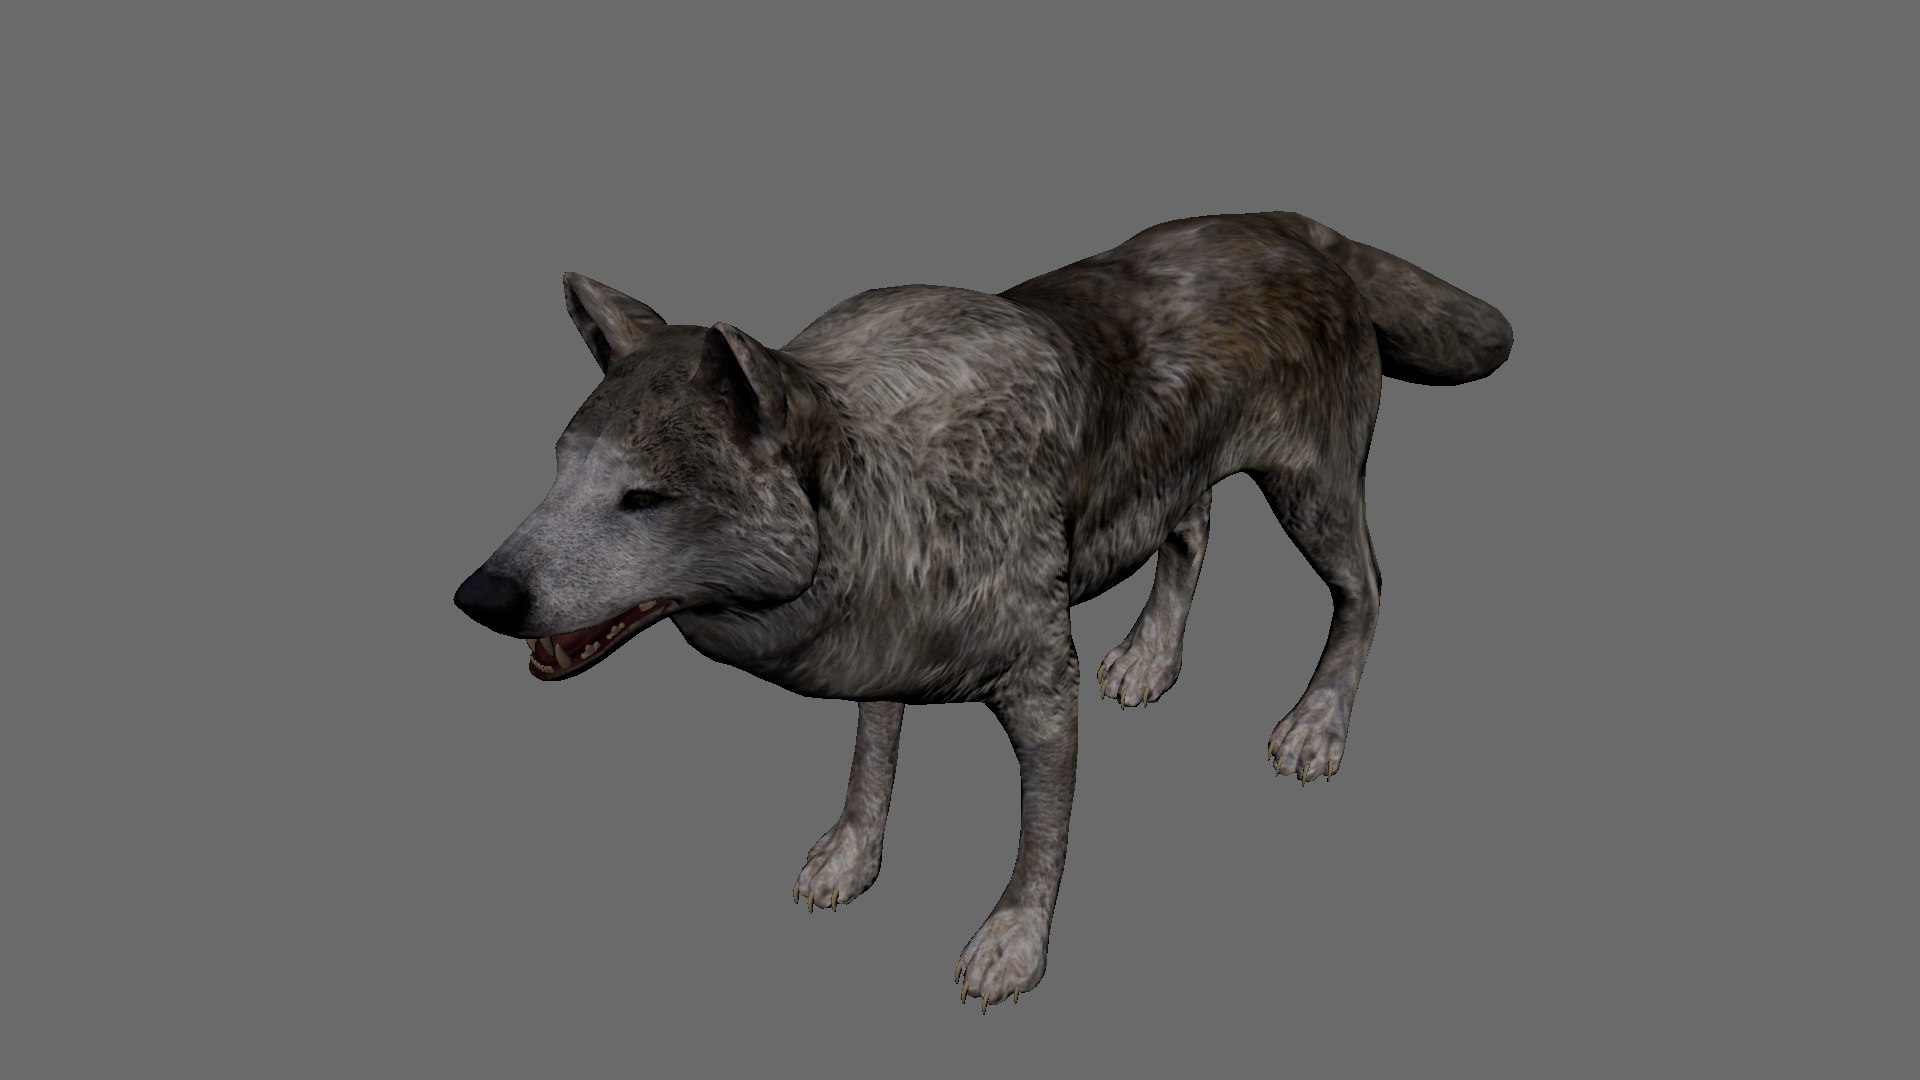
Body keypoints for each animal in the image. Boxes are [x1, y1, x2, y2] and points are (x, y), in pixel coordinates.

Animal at [453, 211, 1512, 1010]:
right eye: (558, 470)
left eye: (643, 498)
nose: (478, 595)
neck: (884, 490)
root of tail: (1297, 226)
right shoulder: (883, 658)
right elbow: (870, 765)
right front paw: (852, 855)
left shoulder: (1044, 686)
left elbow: (1042, 830)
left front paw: (1015, 943)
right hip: (1182, 473)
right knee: (1193, 531)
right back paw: (1152, 655)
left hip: (1313, 493)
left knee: (1367, 588)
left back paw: (1317, 723)